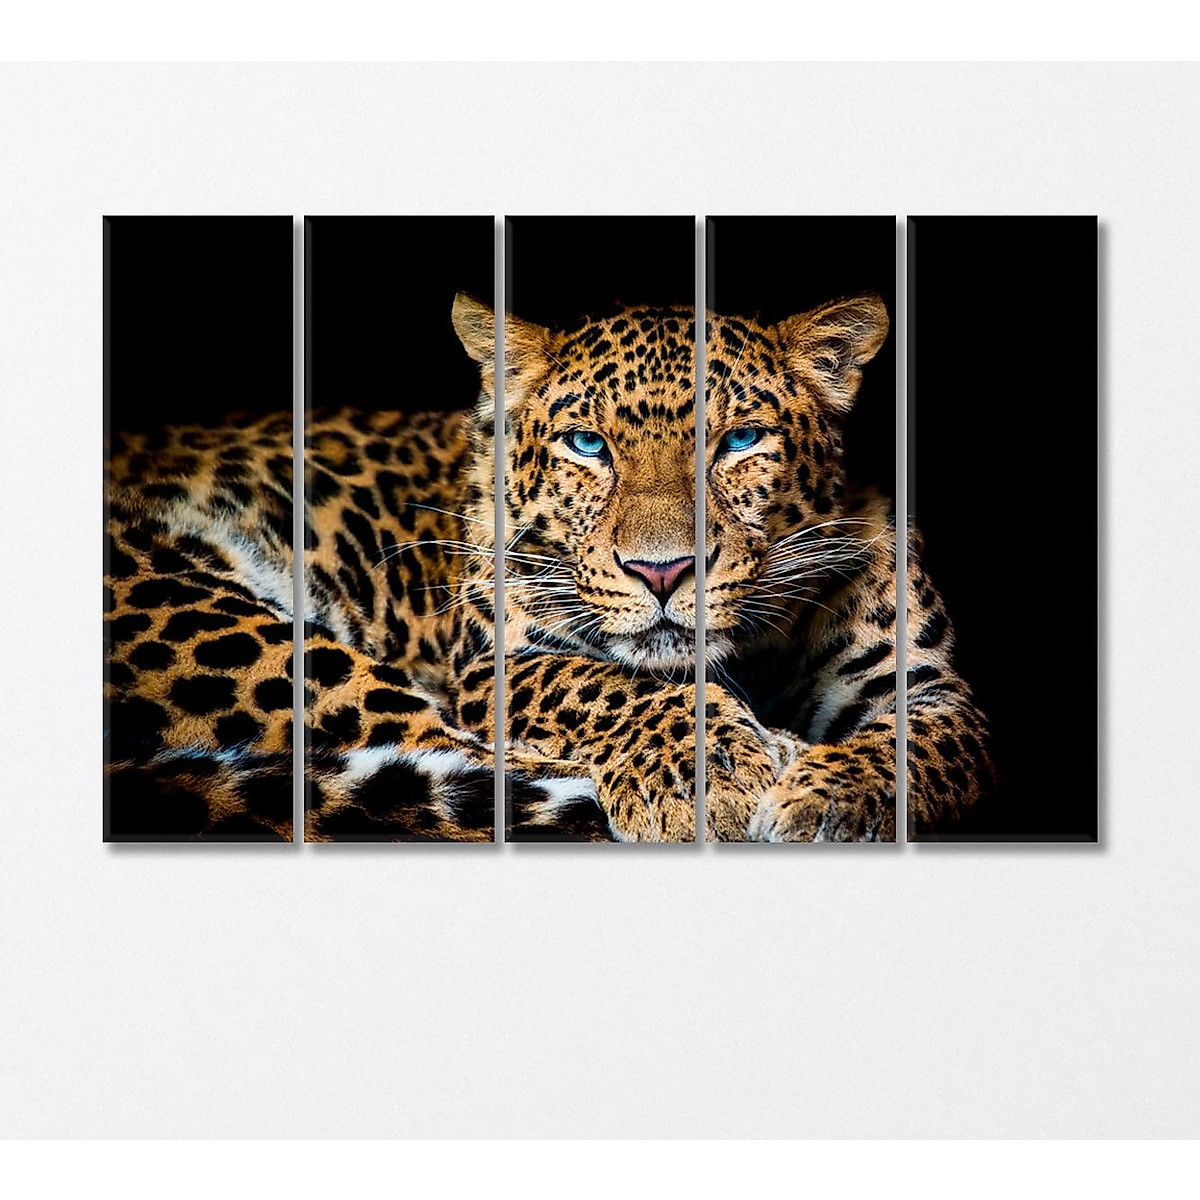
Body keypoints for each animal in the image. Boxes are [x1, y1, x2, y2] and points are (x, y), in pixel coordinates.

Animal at [103, 292, 993, 842]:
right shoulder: (503, 658)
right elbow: (607, 685)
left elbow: (923, 744)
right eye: (587, 444)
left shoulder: (925, 683)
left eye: (740, 440)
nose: (664, 572)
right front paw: (709, 771)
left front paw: (833, 800)